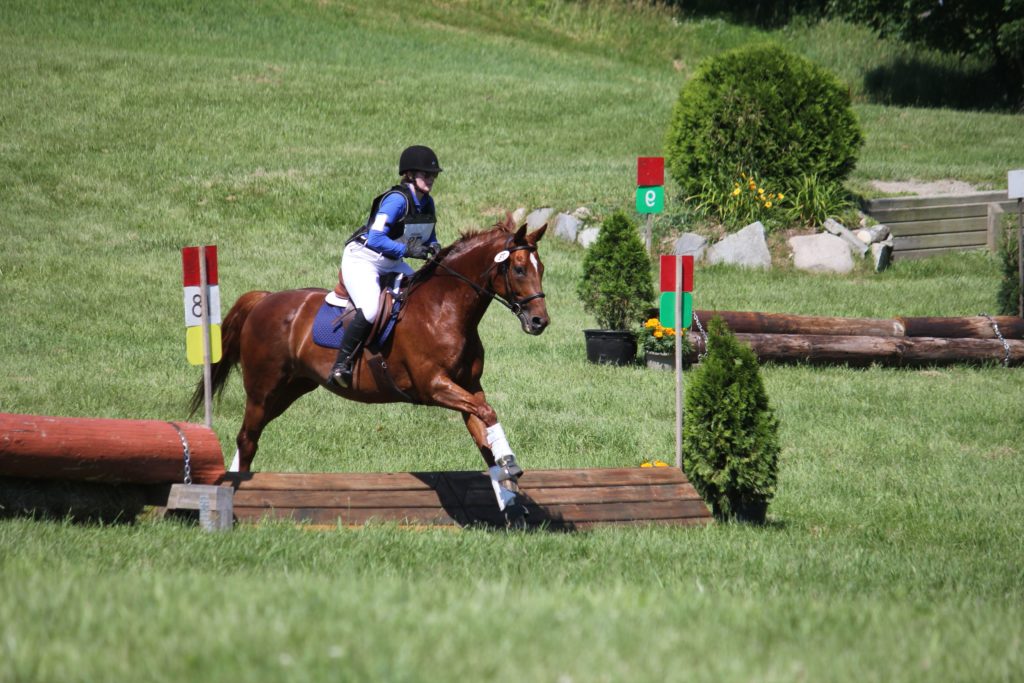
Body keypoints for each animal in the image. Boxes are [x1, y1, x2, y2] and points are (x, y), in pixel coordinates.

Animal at [190, 214, 549, 525]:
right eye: (519, 269)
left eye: (541, 268)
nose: (539, 322)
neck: (446, 309)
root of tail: (264, 299)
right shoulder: (435, 386)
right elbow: (487, 414)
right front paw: (510, 465)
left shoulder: (469, 386)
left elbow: (484, 433)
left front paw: (509, 497)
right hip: (264, 389)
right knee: (247, 437)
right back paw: (237, 491)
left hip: (291, 388)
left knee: (250, 437)